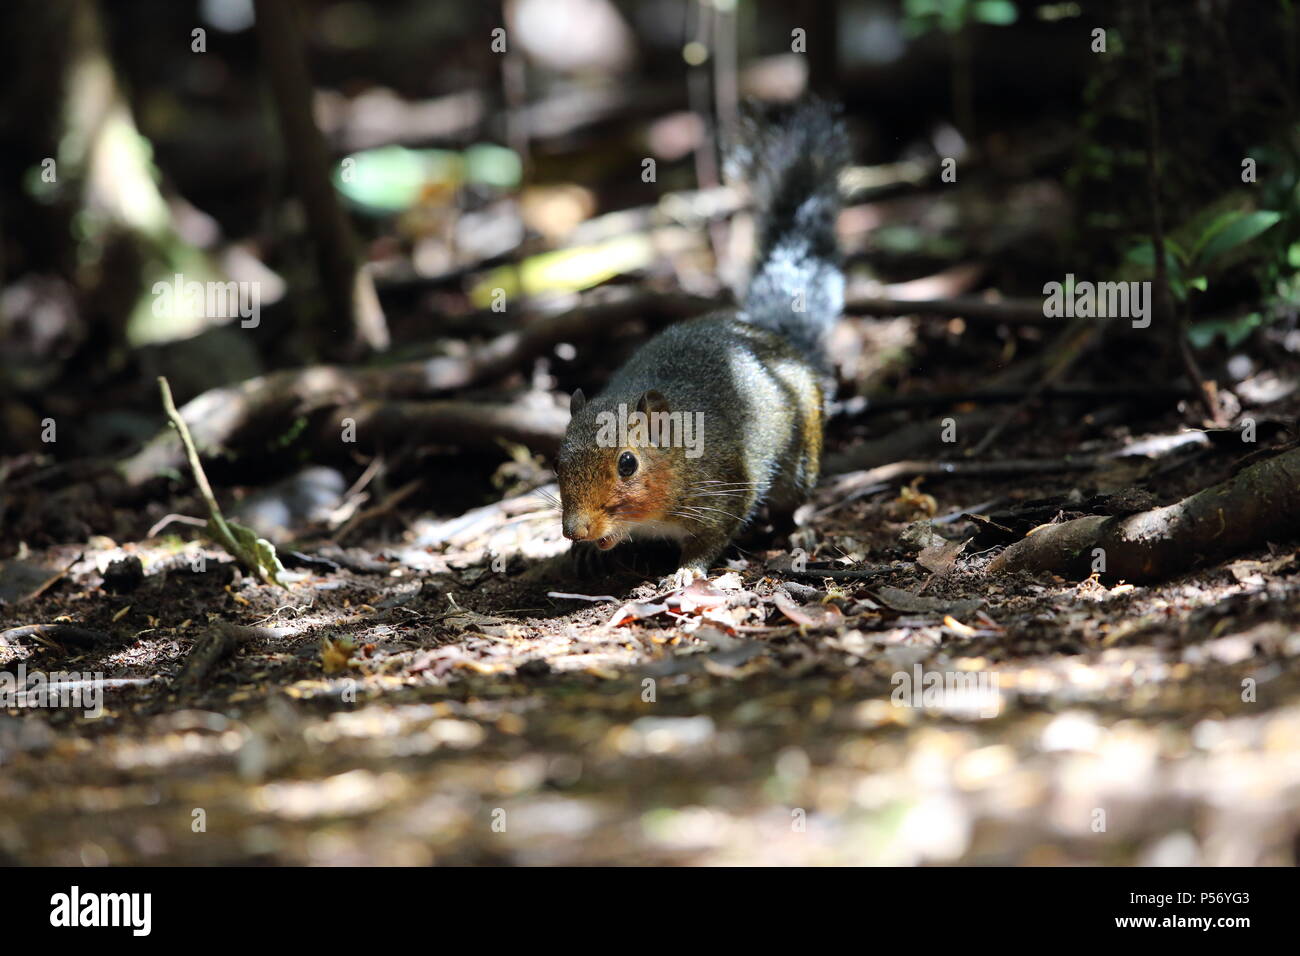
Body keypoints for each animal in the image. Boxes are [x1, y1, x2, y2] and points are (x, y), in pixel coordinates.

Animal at [556, 100, 849, 588]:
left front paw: (685, 570)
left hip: (801, 457)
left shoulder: (726, 488)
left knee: (794, 499)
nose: (575, 530)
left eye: (628, 463)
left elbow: (712, 537)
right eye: (558, 461)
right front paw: (587, 553)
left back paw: (797, 529)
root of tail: (774, 340)